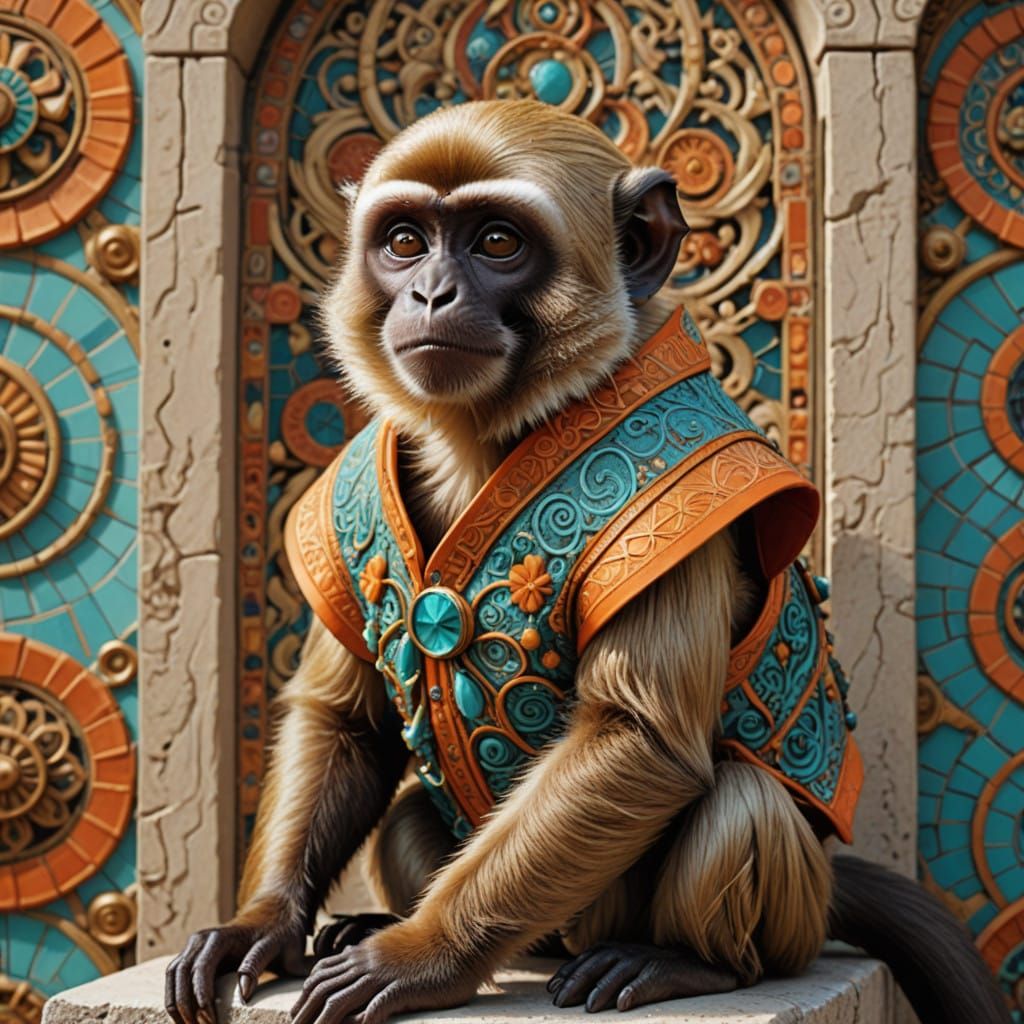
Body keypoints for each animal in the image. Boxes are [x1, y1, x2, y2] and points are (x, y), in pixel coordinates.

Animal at [165, 100, 1011, 1024]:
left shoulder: (682, 502)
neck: (483, 443)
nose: (430, 293)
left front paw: (419, 957)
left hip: (761, 915)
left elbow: (637, 738)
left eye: (498, 242)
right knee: (409, 817)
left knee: (739, 802)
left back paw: (684, 964)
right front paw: (262, 923)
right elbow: (344, 718)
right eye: (405, 242)